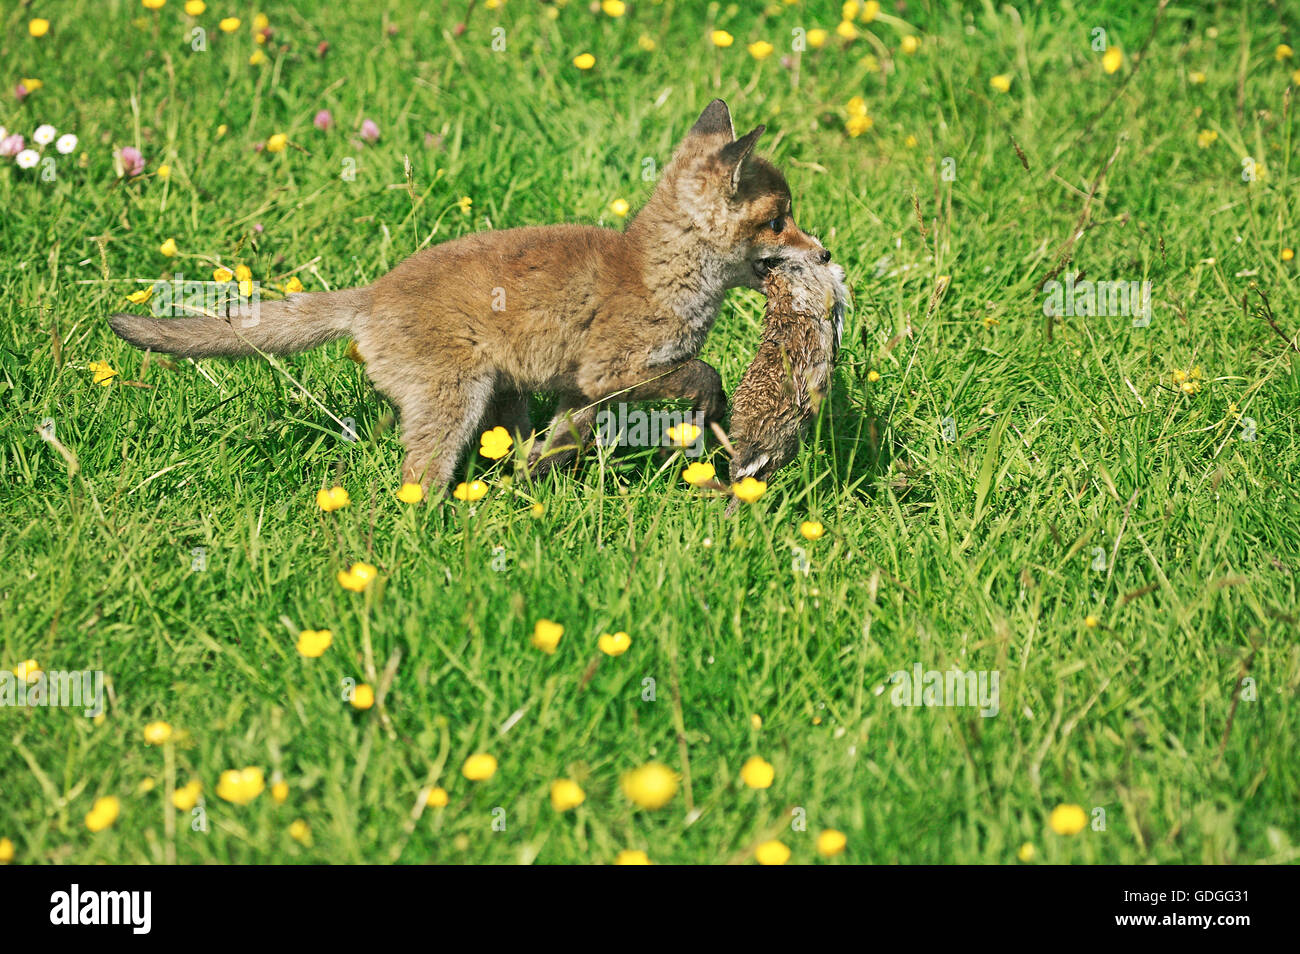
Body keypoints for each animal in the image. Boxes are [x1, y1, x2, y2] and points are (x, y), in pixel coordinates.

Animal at [108, 100, 830, 491]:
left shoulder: (580, 390)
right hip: (455, 399)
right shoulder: (614, 370)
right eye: (779, 220)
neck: (663, 270)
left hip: (500, 394)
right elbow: (705, 375)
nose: (824, 254)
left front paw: (532, 480)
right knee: (413, 483)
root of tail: (372, 294)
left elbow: (560, 442)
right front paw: (714, 421)